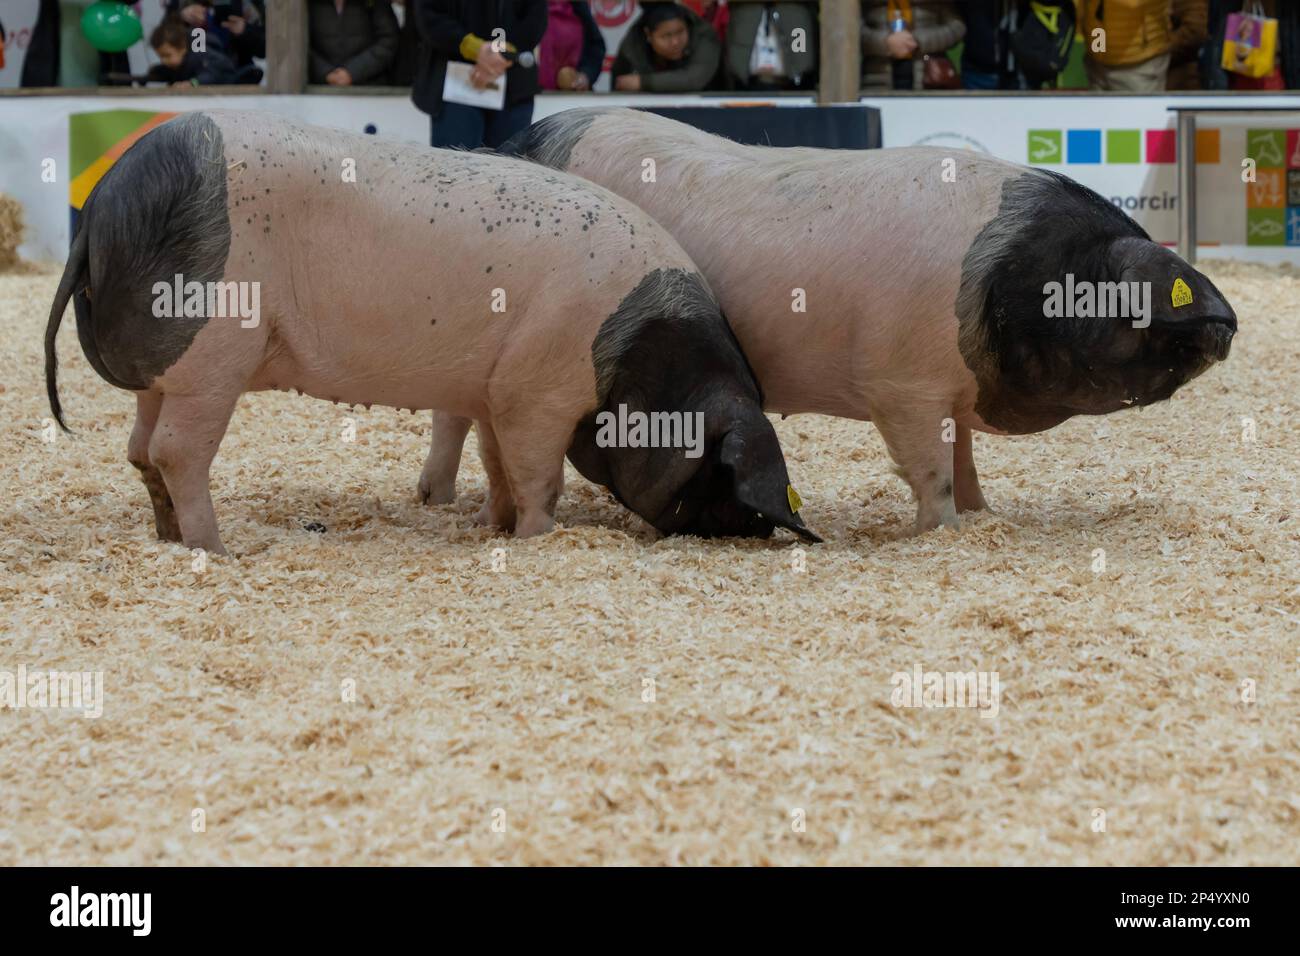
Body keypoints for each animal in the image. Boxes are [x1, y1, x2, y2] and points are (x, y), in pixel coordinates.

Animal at [43, 110, 817, 554]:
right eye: (717, 468)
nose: (755, 529)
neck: (637, 363)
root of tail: (101, 210)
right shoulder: (538, 392)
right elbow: (537, 475)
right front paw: (542, 540)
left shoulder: (499, 389)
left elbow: (497, 464)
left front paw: (489, 529)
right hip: (213, 355)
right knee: (176, 452)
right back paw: (219, 550)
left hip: (169, 371)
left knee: (140, 449)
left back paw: (170, 540)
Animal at [420, 107, 1238, 534]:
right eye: (1127, 301)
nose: (1227, 320)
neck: (1005, 277)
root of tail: (518, 140)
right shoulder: (901, 385)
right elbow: (930, 467)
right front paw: (944, 533)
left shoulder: (948, 391)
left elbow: (966, 460)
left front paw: (986, 516)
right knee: (455, 416)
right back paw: (441, 501)